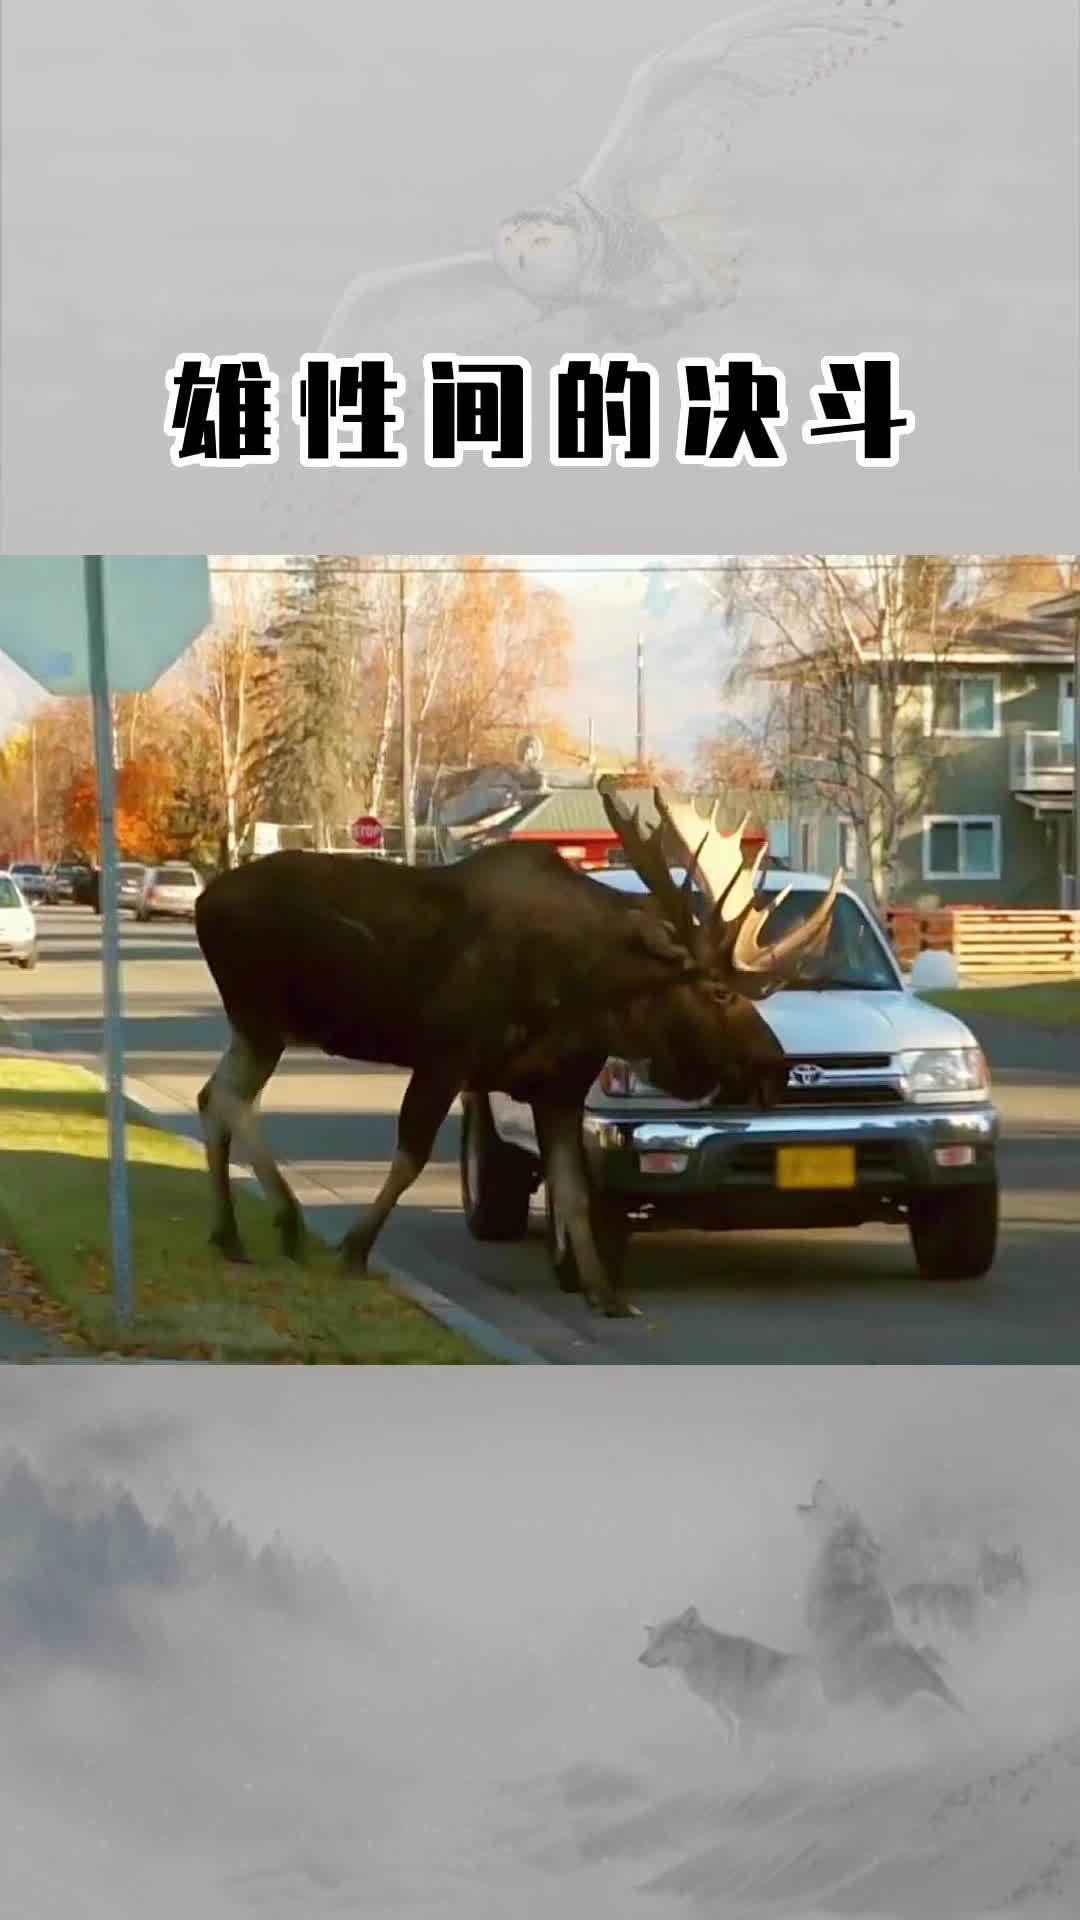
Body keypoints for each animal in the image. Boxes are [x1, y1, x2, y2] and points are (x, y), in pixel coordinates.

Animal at [193, 781, 839, 1316]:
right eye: (719, 992)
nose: (778, 1069)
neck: (591, 993)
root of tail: (202, 904)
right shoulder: (445, 1056)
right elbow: (409, 1157)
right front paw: (355, 1248)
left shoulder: (558, 1089)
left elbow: (572, 1193)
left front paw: (605, 1294)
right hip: (263, 1016)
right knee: (230, 1099)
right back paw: (285, 1220)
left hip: (256, 1027)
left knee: (211, 1096)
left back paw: (230, 1235)